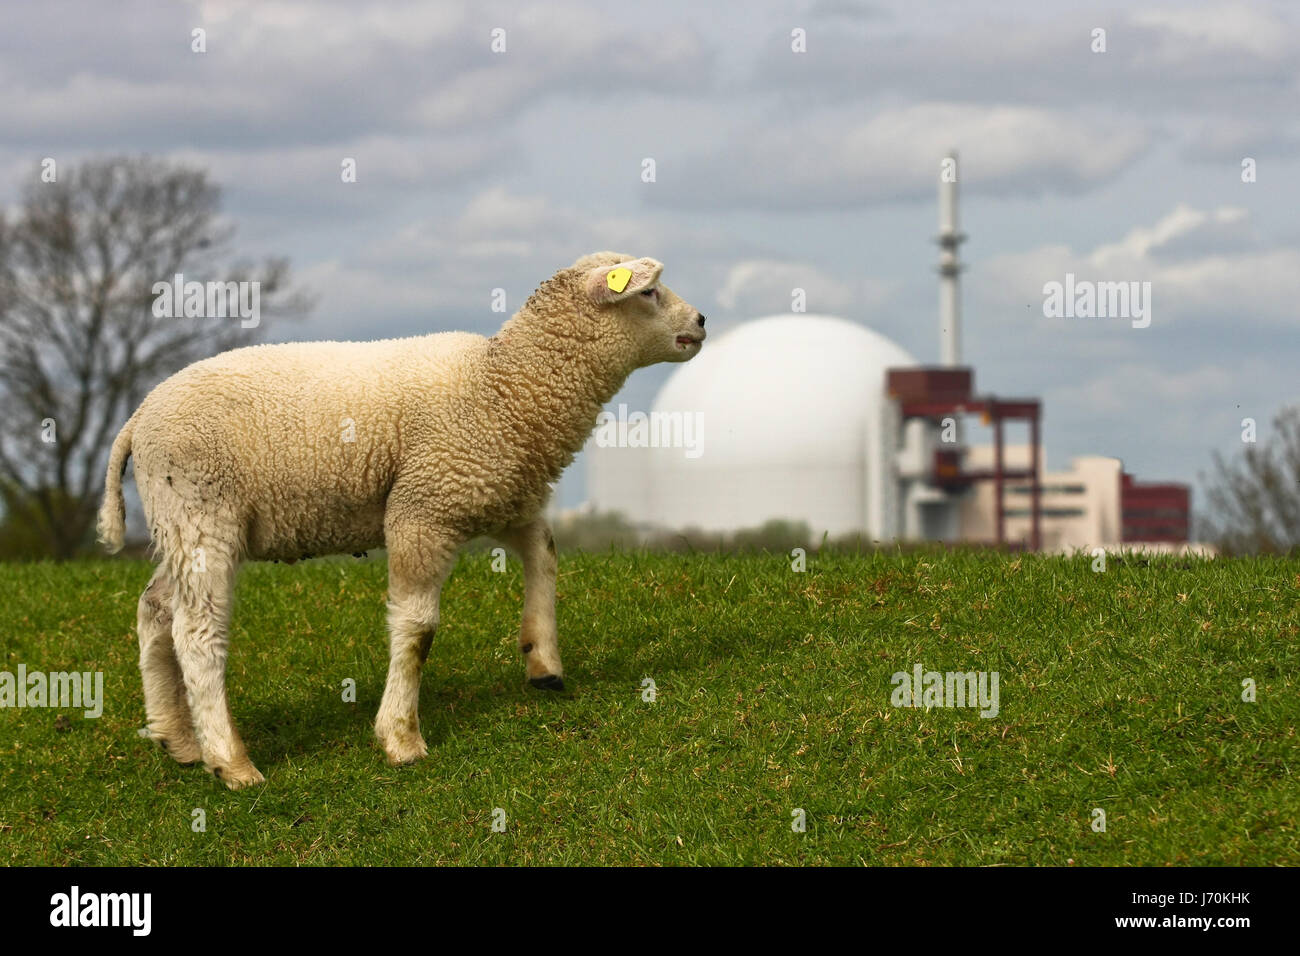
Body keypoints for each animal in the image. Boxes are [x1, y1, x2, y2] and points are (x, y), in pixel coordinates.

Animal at [97, 252, 707, 789]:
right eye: (648, 292)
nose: (701, 321)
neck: (505, 386)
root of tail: (138, 418)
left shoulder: (491, 494)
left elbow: (545, 552)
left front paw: (543, 660)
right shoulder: (424, 507)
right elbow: (417, 630)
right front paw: (401, 738)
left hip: (181, 525)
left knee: (155, 610)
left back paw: (179, 740)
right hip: (203, 511)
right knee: (198, 633)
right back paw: (231, 763)